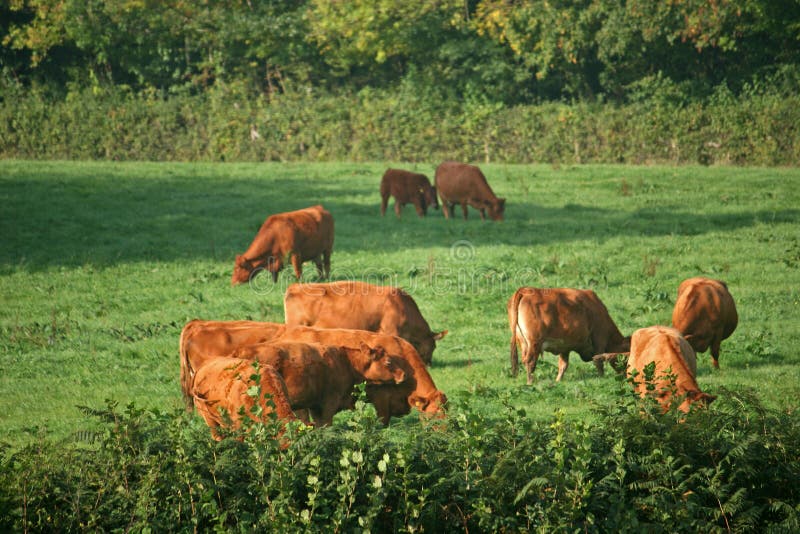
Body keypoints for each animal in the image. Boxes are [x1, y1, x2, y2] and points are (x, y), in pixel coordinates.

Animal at [228, 341, 406, 426]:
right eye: (388, 362)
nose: (402, 374)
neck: (346, 362)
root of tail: (239, 351)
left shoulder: (313, 406)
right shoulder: (328, 404)